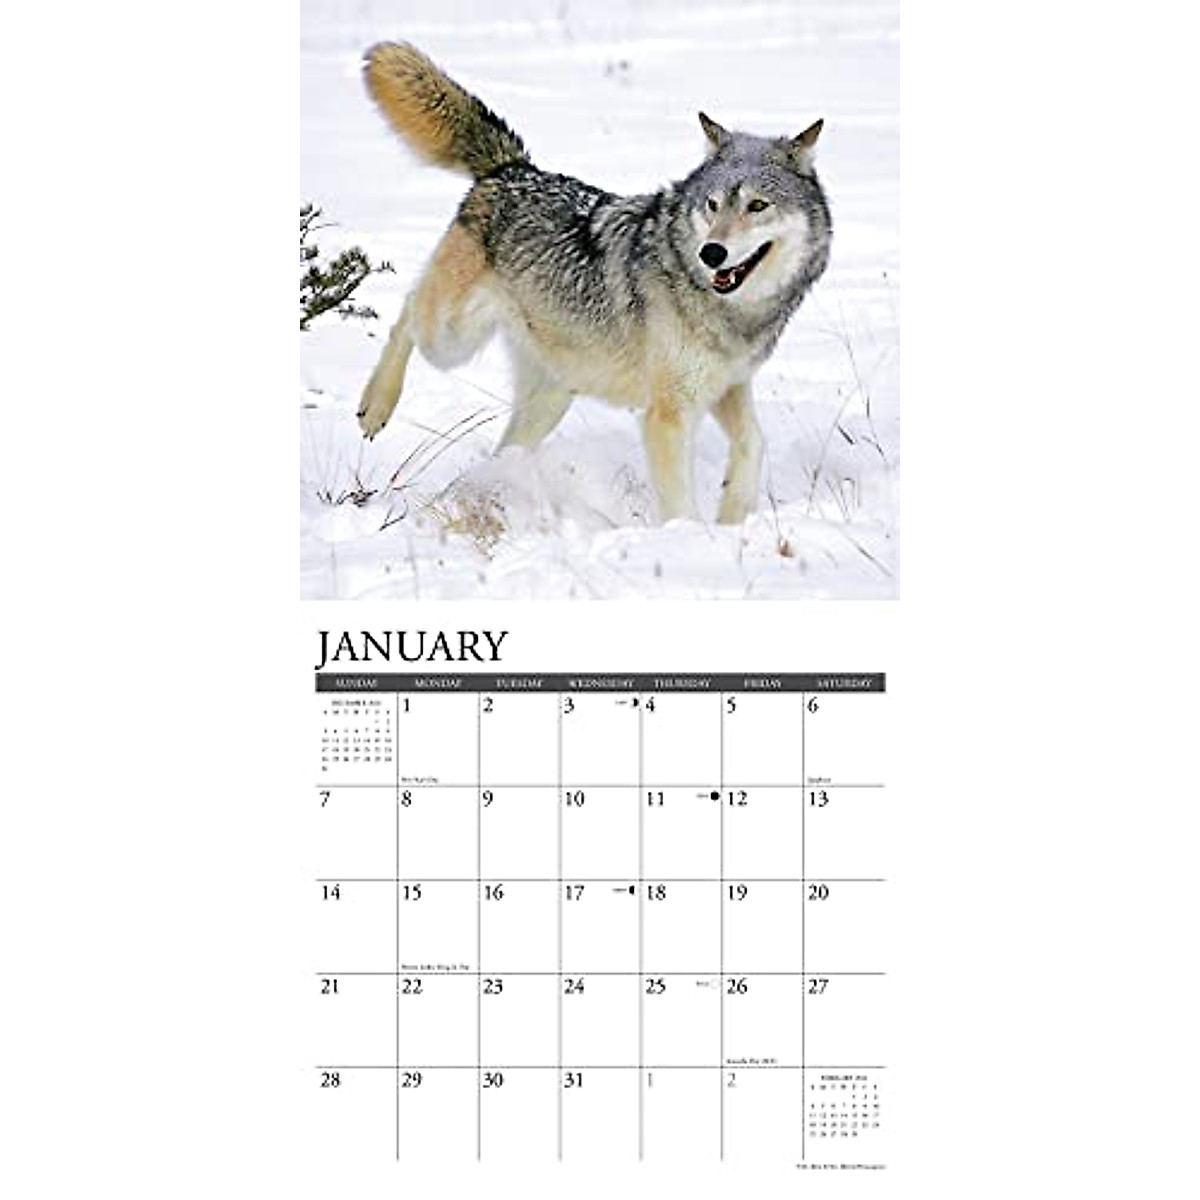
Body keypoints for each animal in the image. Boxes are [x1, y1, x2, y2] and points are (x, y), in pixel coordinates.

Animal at [356, 43, 831, 524]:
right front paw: (693, 534)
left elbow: (754, 441)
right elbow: (680, 504)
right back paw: (376, 407)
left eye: (757, 206)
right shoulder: (667, 414)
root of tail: (513, 168)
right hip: (452, 338)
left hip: (550, 397)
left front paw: (733, 516)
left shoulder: (728, 387)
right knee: (406, 313)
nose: (711, 253)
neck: (734, 312)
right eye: (713, 205)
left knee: (504, 448)